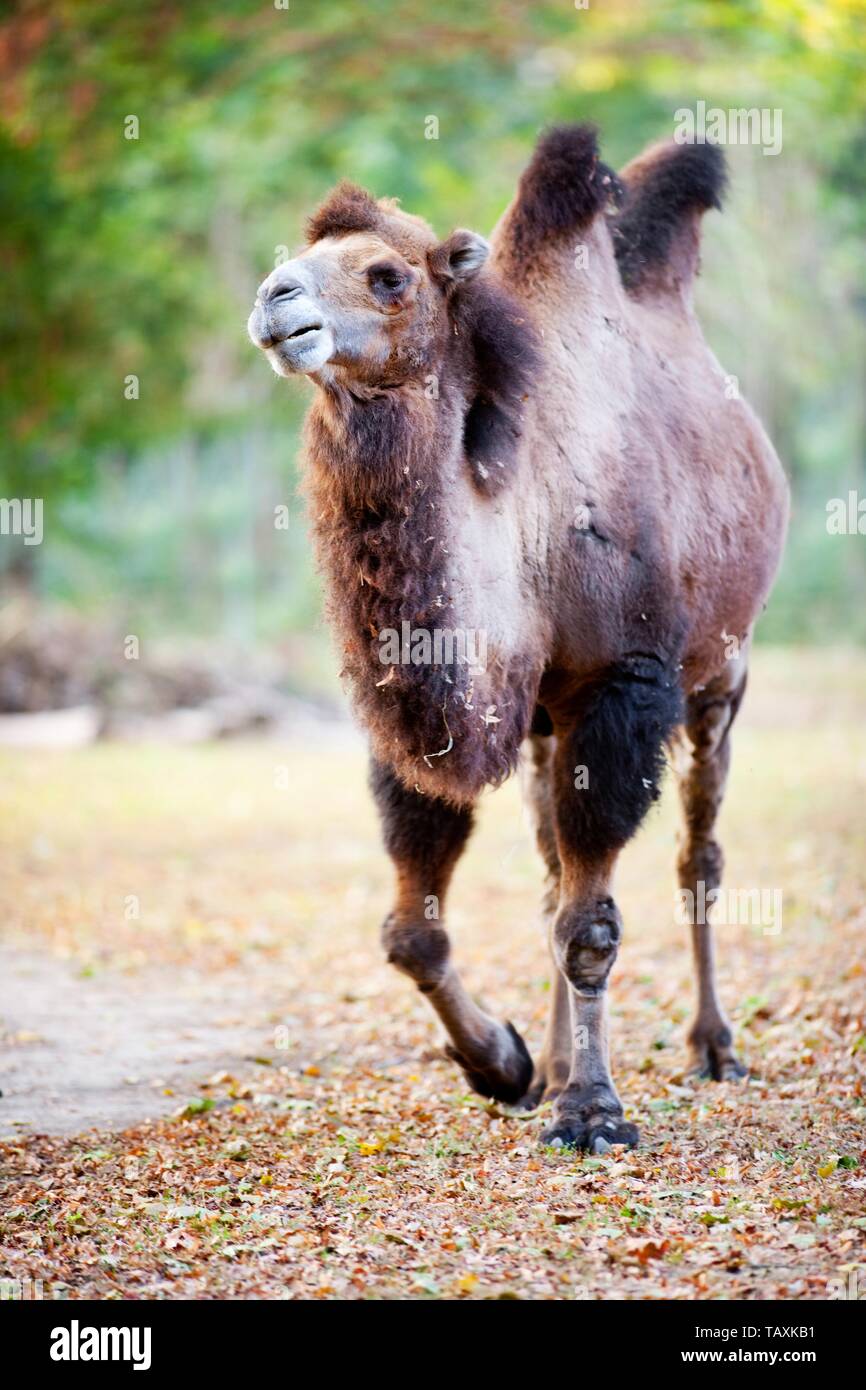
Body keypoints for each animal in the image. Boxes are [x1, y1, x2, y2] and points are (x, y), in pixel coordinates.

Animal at [247, 125, 789, 1150]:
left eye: (387, 276)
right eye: (291, 258)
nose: (272, 299)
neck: (528, 518)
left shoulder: (627, 684)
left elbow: (593, 927)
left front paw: (594, 1113)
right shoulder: (433, 702)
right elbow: (415, 932)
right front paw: (506, 1062)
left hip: (722, 675)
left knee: (696, 854)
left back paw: (713, 1046)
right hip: (547, 720)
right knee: (550, 875)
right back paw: (563, 1061)